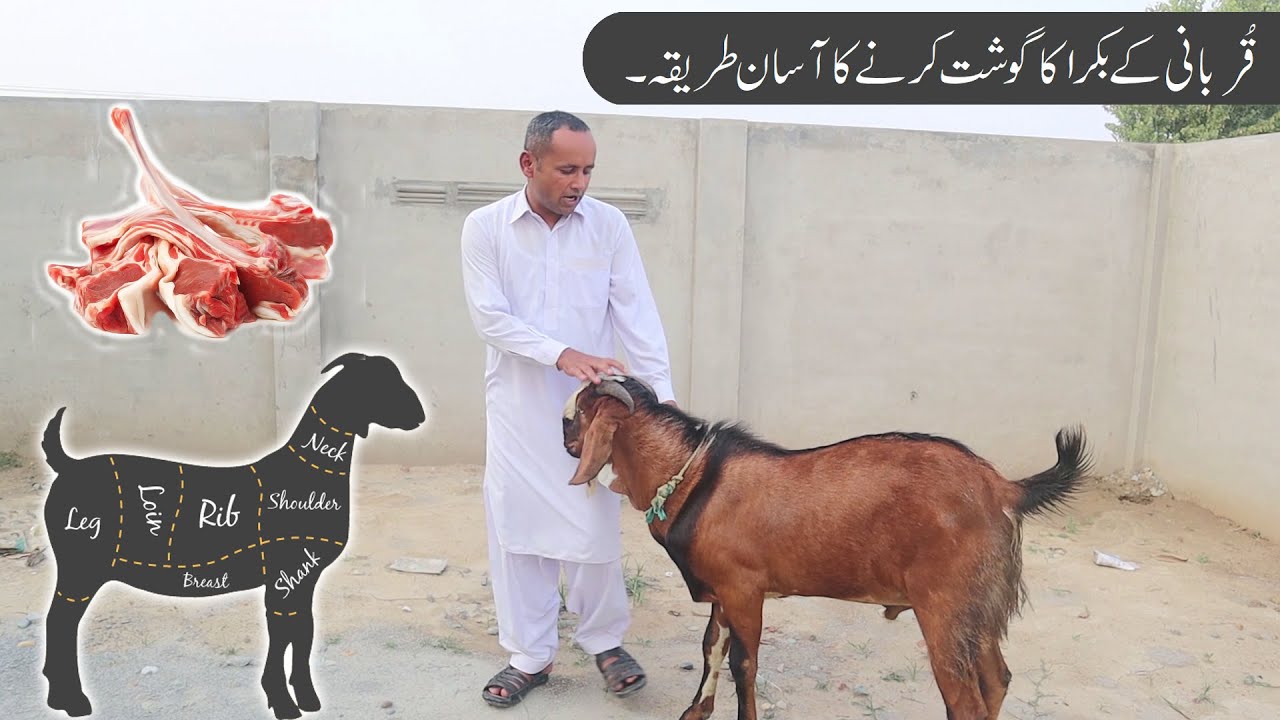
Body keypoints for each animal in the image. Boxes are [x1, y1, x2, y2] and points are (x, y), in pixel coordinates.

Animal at [38, 351, 426, 719]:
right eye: (379, 383)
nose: (420, 416)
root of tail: (68, 465)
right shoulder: (285, 574)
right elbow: (281, 633)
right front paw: (282, 703)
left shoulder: (304, 576)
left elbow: (304, 632)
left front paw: (307, 699)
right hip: (81, 562)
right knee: (60, 622)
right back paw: (71, 700)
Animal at [561, 375, 1092, 720]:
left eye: (574, 416)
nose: (564, 442)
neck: (693, 477)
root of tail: (1001, 487)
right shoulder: (721, 592)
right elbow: (711, 648)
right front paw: (695, 712)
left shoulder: (743, 590)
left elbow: (742, 664)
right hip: (979, 608)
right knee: (996, 680)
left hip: (946, 606)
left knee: (965, 700)